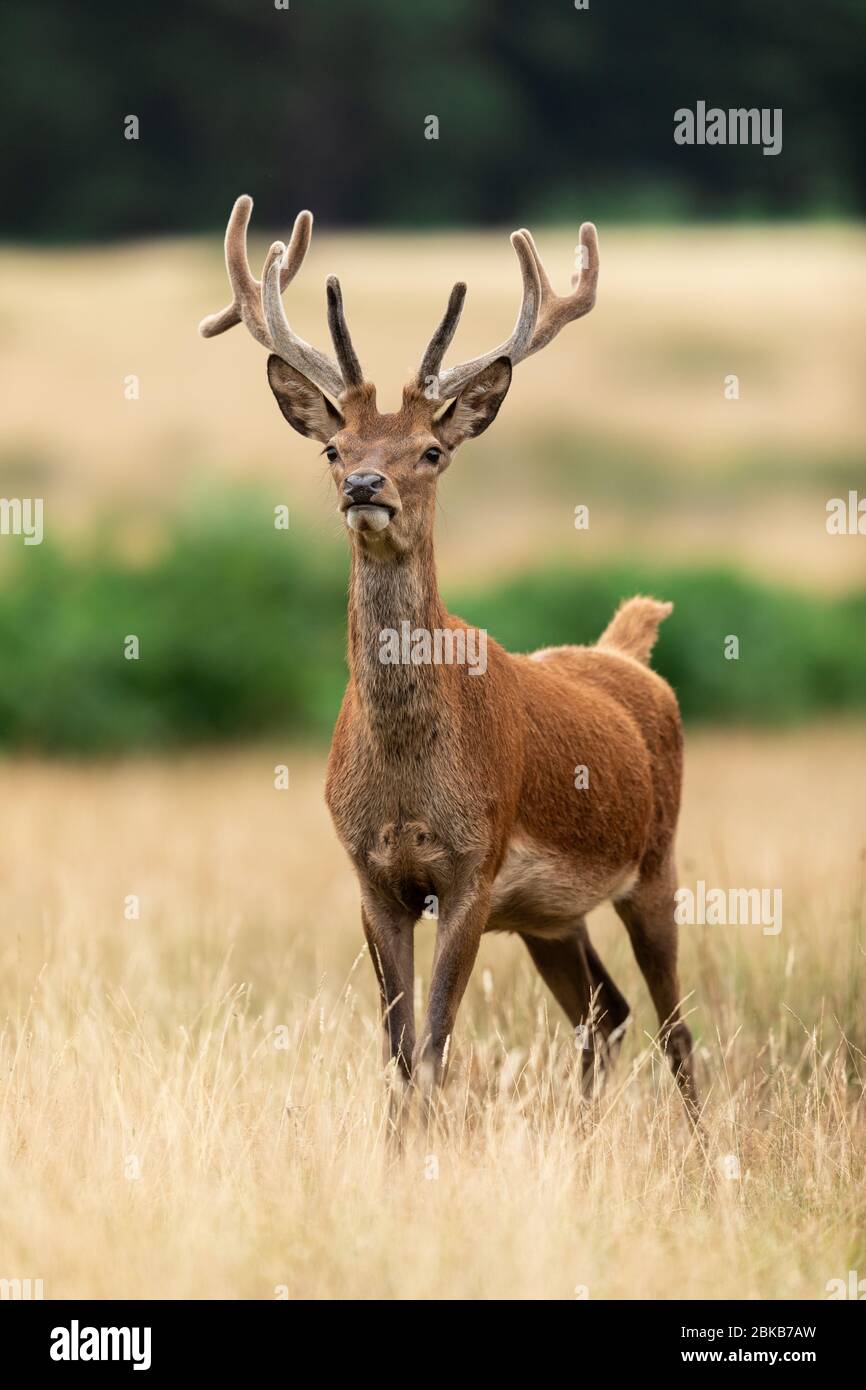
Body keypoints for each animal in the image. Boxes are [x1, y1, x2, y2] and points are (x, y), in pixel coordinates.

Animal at [200, 195, 699, 1120]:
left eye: (431, 451)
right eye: (334, 448)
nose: (366, 487)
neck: (407, 773)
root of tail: (626, 651)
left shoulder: (475, 864)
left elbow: (432, 1049)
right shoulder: (373, 875)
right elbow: (397, 1055)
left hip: (656, 861)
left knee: (676, 1026)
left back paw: (693, 1139)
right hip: (550, 916)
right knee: (607, 1014)